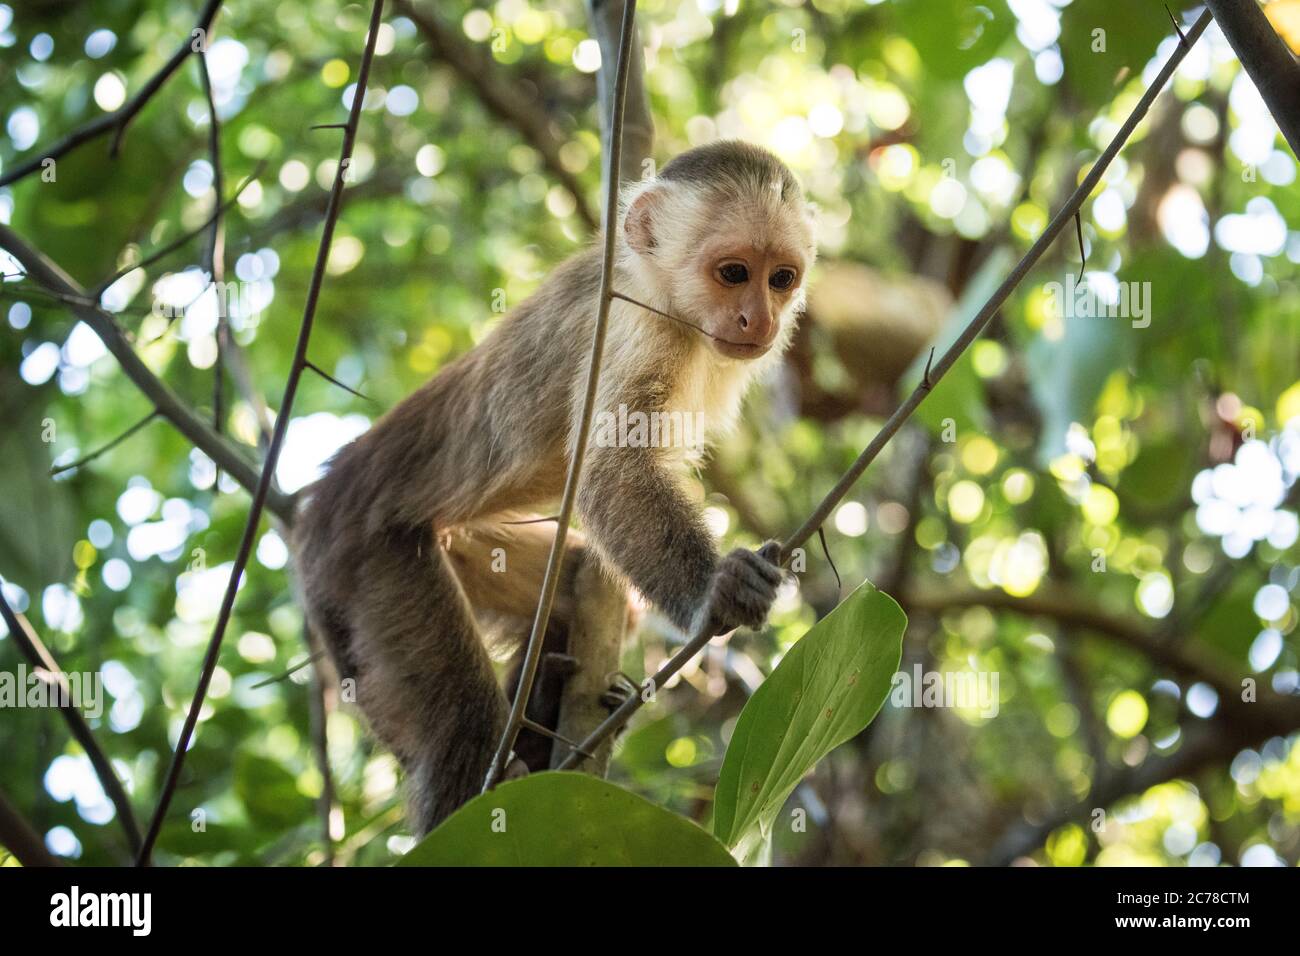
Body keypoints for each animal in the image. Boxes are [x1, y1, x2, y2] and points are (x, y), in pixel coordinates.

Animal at [292, 140, 818, 835]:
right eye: (734, 273)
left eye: (781, 278)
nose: (757, 318)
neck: (658, 290)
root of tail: (320, 503)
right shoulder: (634, 324)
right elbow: (609, 473)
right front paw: (716, 590)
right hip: (367, 561)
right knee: (457, 730)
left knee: (566, 588)